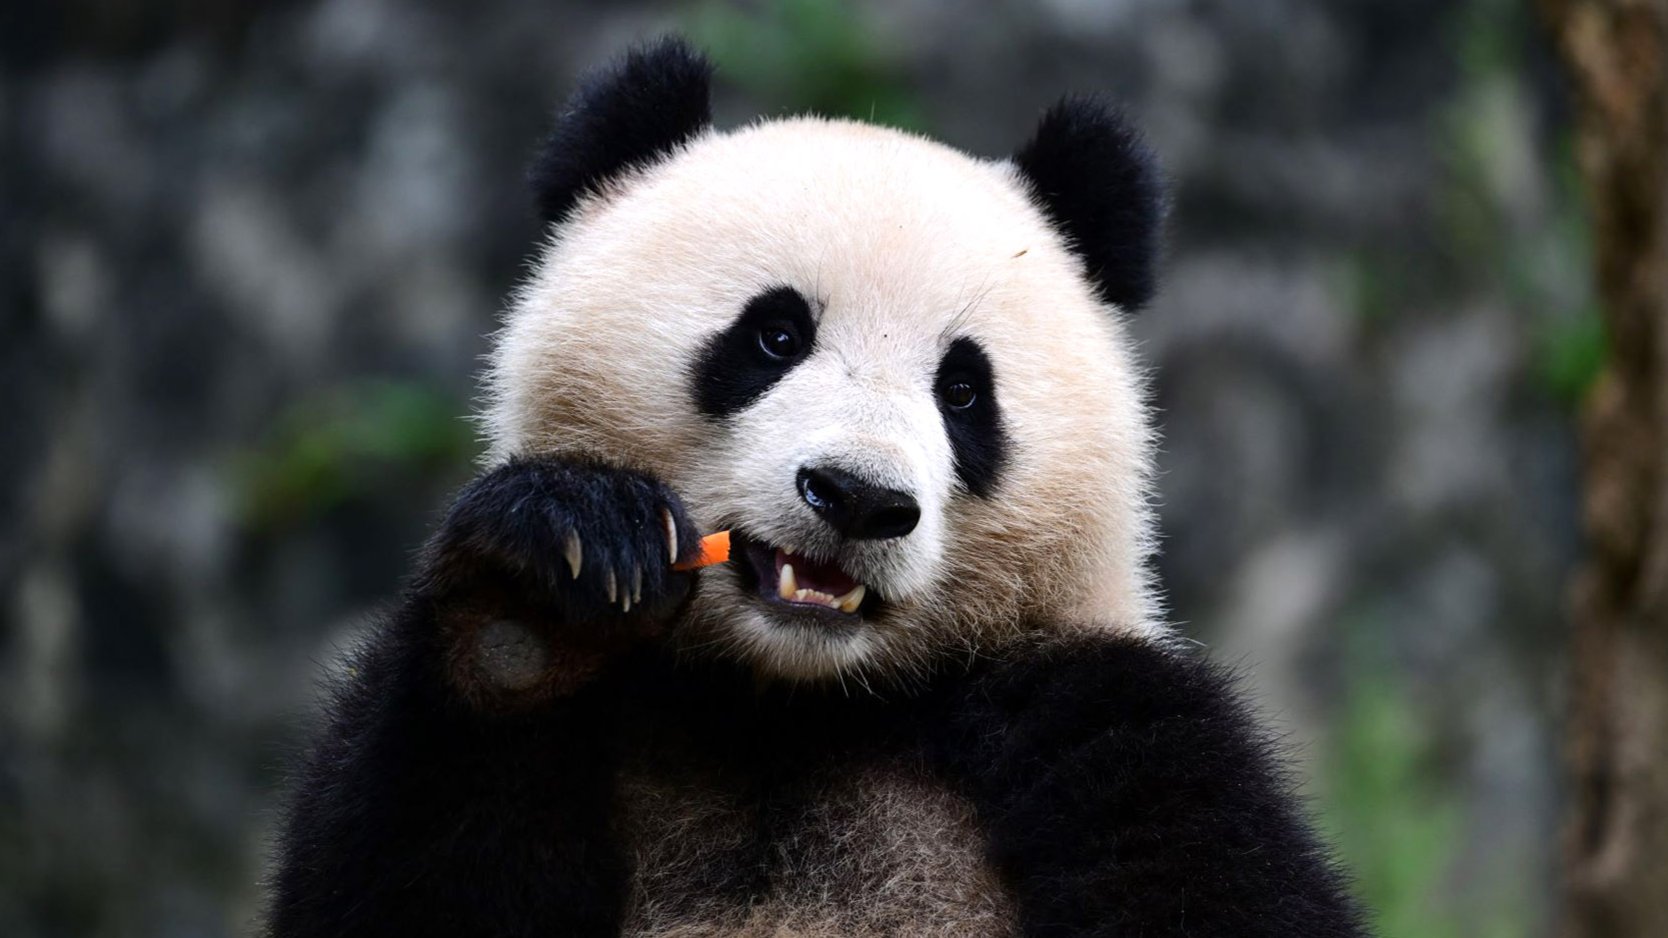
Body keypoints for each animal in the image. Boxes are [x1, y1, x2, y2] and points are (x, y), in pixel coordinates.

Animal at [267, 38, 1368, 938]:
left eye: (963, 390)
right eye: (774, 334)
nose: (858, 497)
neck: (793, 706)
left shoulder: (1111, 723)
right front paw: (539, 600)